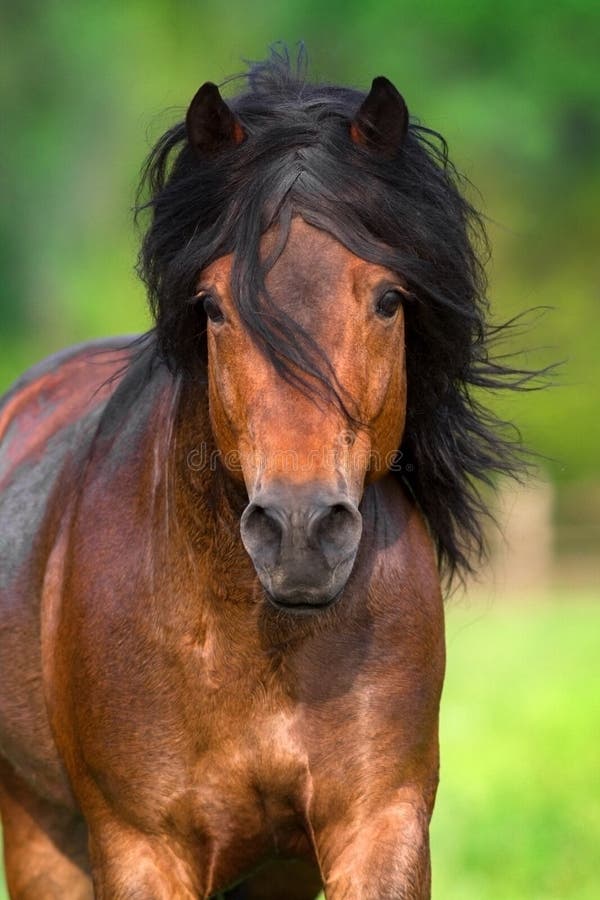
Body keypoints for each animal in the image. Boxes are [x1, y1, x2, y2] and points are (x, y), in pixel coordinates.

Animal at [0, 49, 528, 899]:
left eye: (389, 299)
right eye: (214, 306)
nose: (300, 533)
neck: (257, 646)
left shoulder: (377, 825)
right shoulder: (141, 847)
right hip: (40, 837)